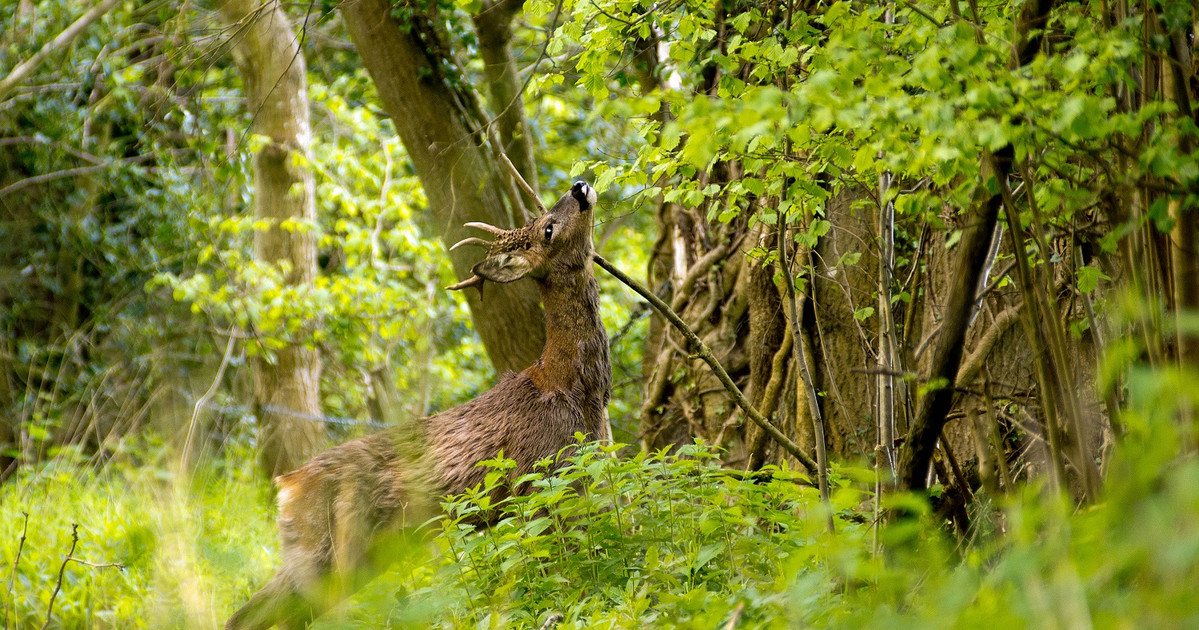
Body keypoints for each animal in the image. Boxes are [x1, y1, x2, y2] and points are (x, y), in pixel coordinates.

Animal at [226, 181, 611, 629]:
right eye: (548, 228)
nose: (580, 186)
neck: (568, 385)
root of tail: (286, 483)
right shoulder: (539, 480)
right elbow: (556, 567)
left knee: (250, 614)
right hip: (331, 550)